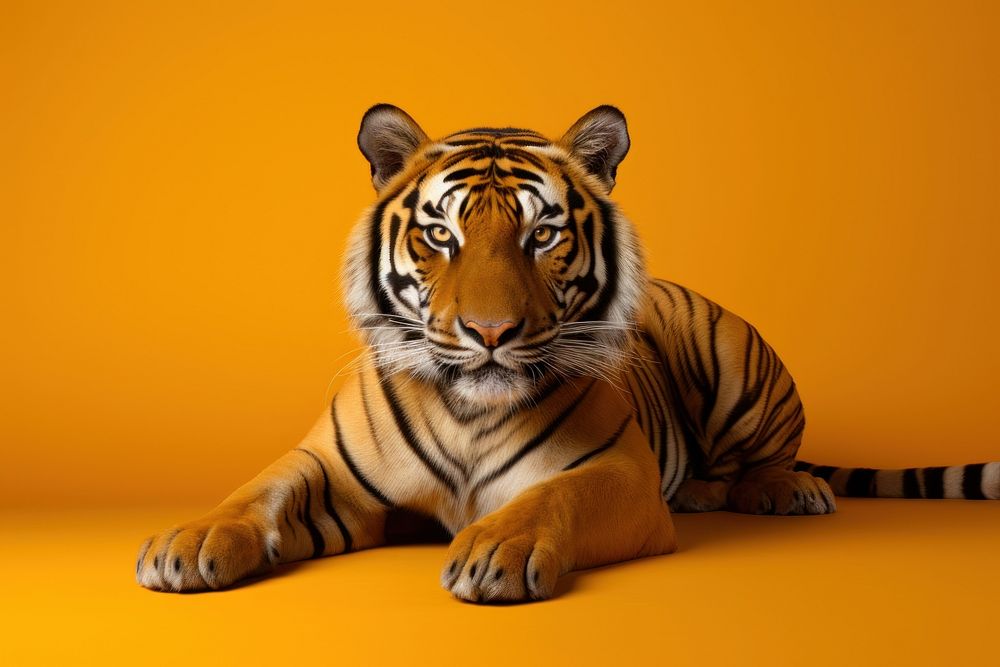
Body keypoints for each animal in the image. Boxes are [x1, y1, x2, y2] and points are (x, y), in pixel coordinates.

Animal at [136, 104, 1000, 602]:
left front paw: (498, 547)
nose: (489, 332)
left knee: (770, 457)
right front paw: (191, 540)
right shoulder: (334, 471)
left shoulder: (617, 470)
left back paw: (787, 490)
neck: (464, 410)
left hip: (736, 352)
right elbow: (259, 489)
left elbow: (553, 498)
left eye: (541, 233)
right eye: (440, 234)